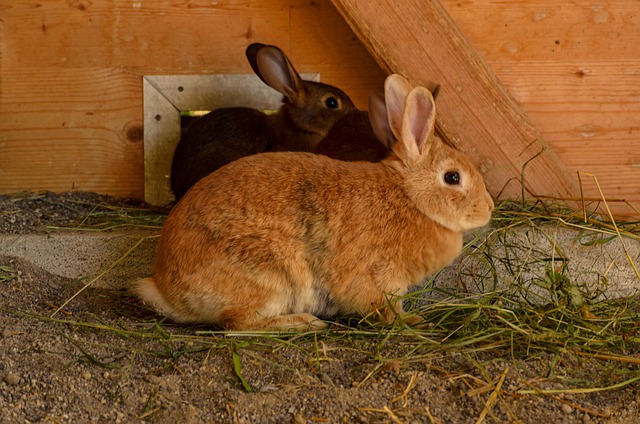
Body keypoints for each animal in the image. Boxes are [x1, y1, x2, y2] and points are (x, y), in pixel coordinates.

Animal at [134, 74, 494, 331]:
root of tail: (166, 290)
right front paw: (411, 322)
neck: (409, 197)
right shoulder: (380, 278)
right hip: (272, 271)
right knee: (236, 322)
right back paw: (302, 323)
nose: (489, 208)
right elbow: (386, 307)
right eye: (452, 178)